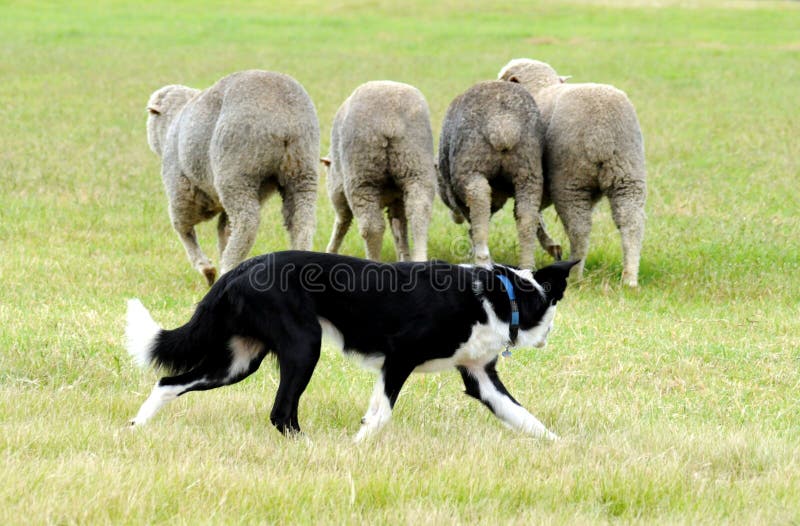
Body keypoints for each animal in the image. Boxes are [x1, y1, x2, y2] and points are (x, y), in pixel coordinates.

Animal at [146, 70, 320, 285]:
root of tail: (285, 119)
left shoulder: (181, 188)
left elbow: (183, 227)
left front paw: (206, 268)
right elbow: (223, 229)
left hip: (236, 174)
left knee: (246, 223)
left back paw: (227, 267)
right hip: (302, 171)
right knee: (302, 222)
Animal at [322, 81, 436, 262]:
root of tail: (389, 120)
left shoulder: (338, 191)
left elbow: (342, 221)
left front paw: (330, 250)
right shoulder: (397, 198)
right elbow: (399, 226)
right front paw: (403, 257)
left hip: (362, 175)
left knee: (372, 227)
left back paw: (373, 260)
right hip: (416, 165)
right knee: (419, 213)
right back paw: (418, 258)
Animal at [437, 80, 558, 269]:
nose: (455, 217)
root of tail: (503, 122)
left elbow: (472, 221)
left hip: (470, 168)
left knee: (479, 201)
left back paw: (483, 259)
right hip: (528, 170)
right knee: (526, 216)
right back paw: (527, 265)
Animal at [498, 59, 647, 287]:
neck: (540, 87)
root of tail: (602, 130)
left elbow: (529, 214)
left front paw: (549, 245)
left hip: (570, 181)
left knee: (579, 229)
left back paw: (575, 273)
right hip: (628, 176)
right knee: (631, 222)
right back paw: (629, 278)